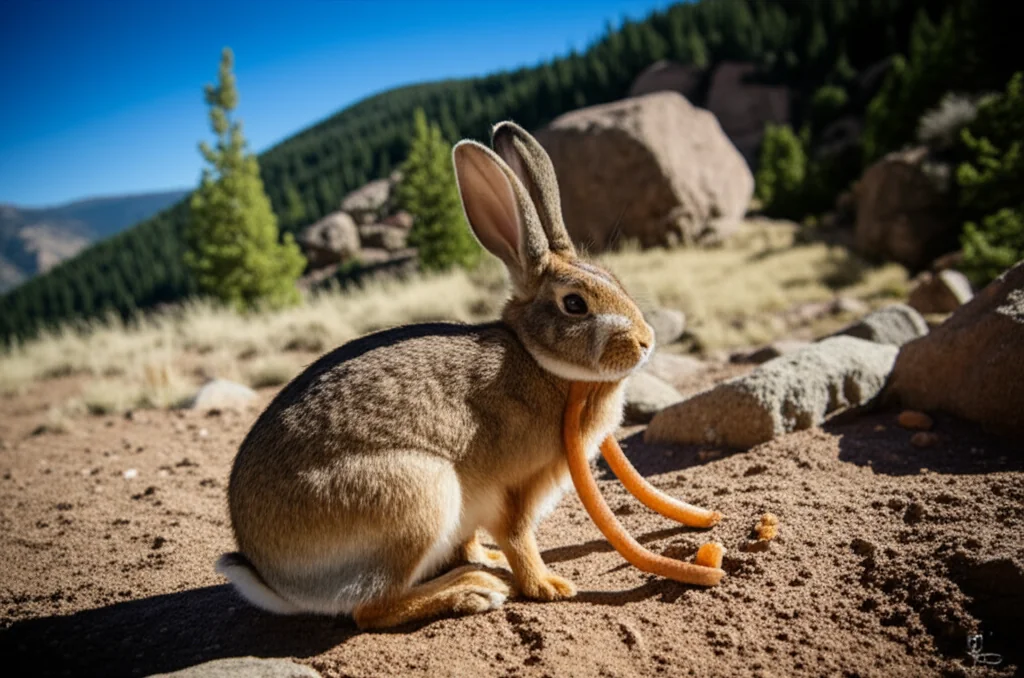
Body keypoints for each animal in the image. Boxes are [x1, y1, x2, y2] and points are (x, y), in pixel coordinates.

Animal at [216, 121, 656, 630]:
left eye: (615, 281)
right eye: (574, 304)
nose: (646, 341)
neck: (538, 361)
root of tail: (276, 579)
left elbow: (475, 540)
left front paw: (489, 557)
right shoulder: (516, 490)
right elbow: (520, 538)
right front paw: (548, 586)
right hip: (419, 495)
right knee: (371, 610)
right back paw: (474, 591)